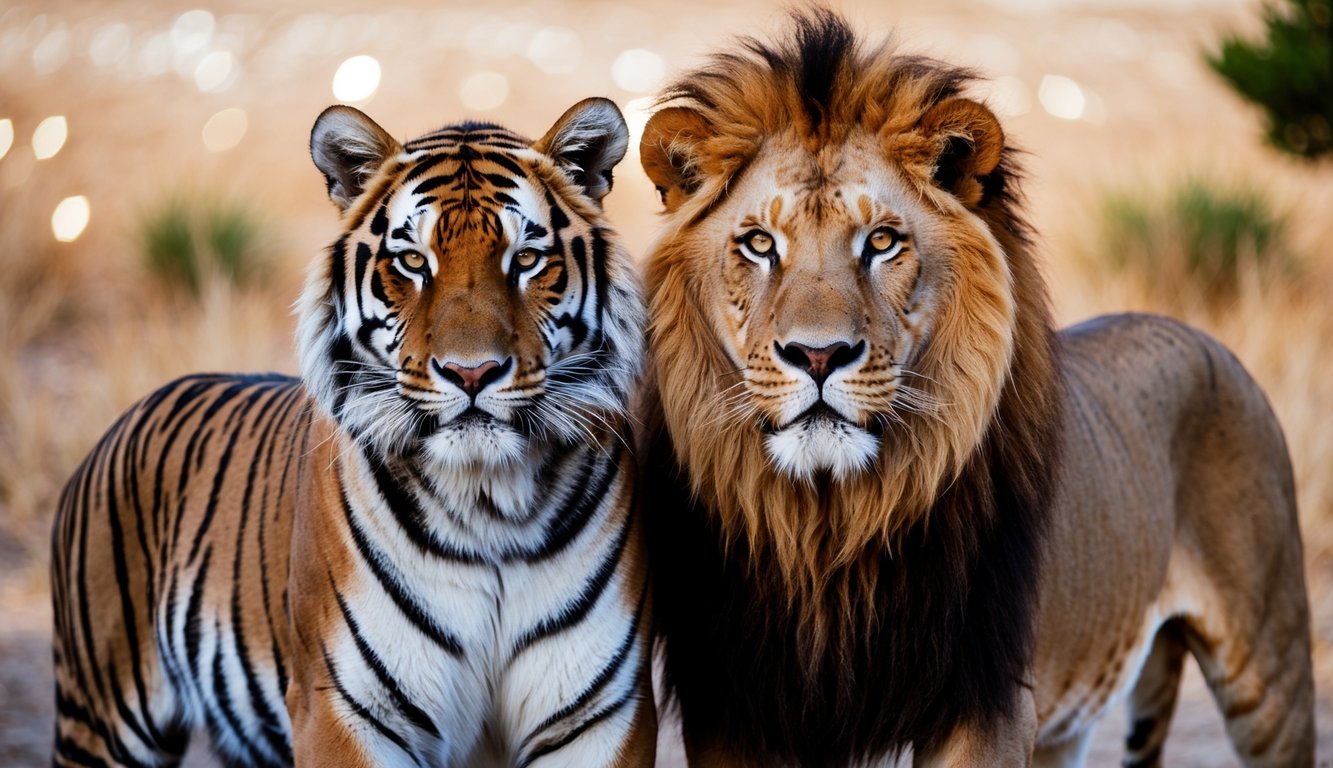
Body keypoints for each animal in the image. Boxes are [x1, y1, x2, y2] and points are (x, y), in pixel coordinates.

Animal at [49, 97, 655, 768]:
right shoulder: (345, 708)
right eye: (413, 261)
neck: (488, 504)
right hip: (104, 719)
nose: (471, 372)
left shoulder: (601, 713)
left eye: (525, 259)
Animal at [636, 11, 1314, 767]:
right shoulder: (734, 709)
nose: (818, 354)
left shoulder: (987, 701)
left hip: (1269, 666)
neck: (829, 529)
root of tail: (1193, 332)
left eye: (881, 242)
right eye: (758, 245)